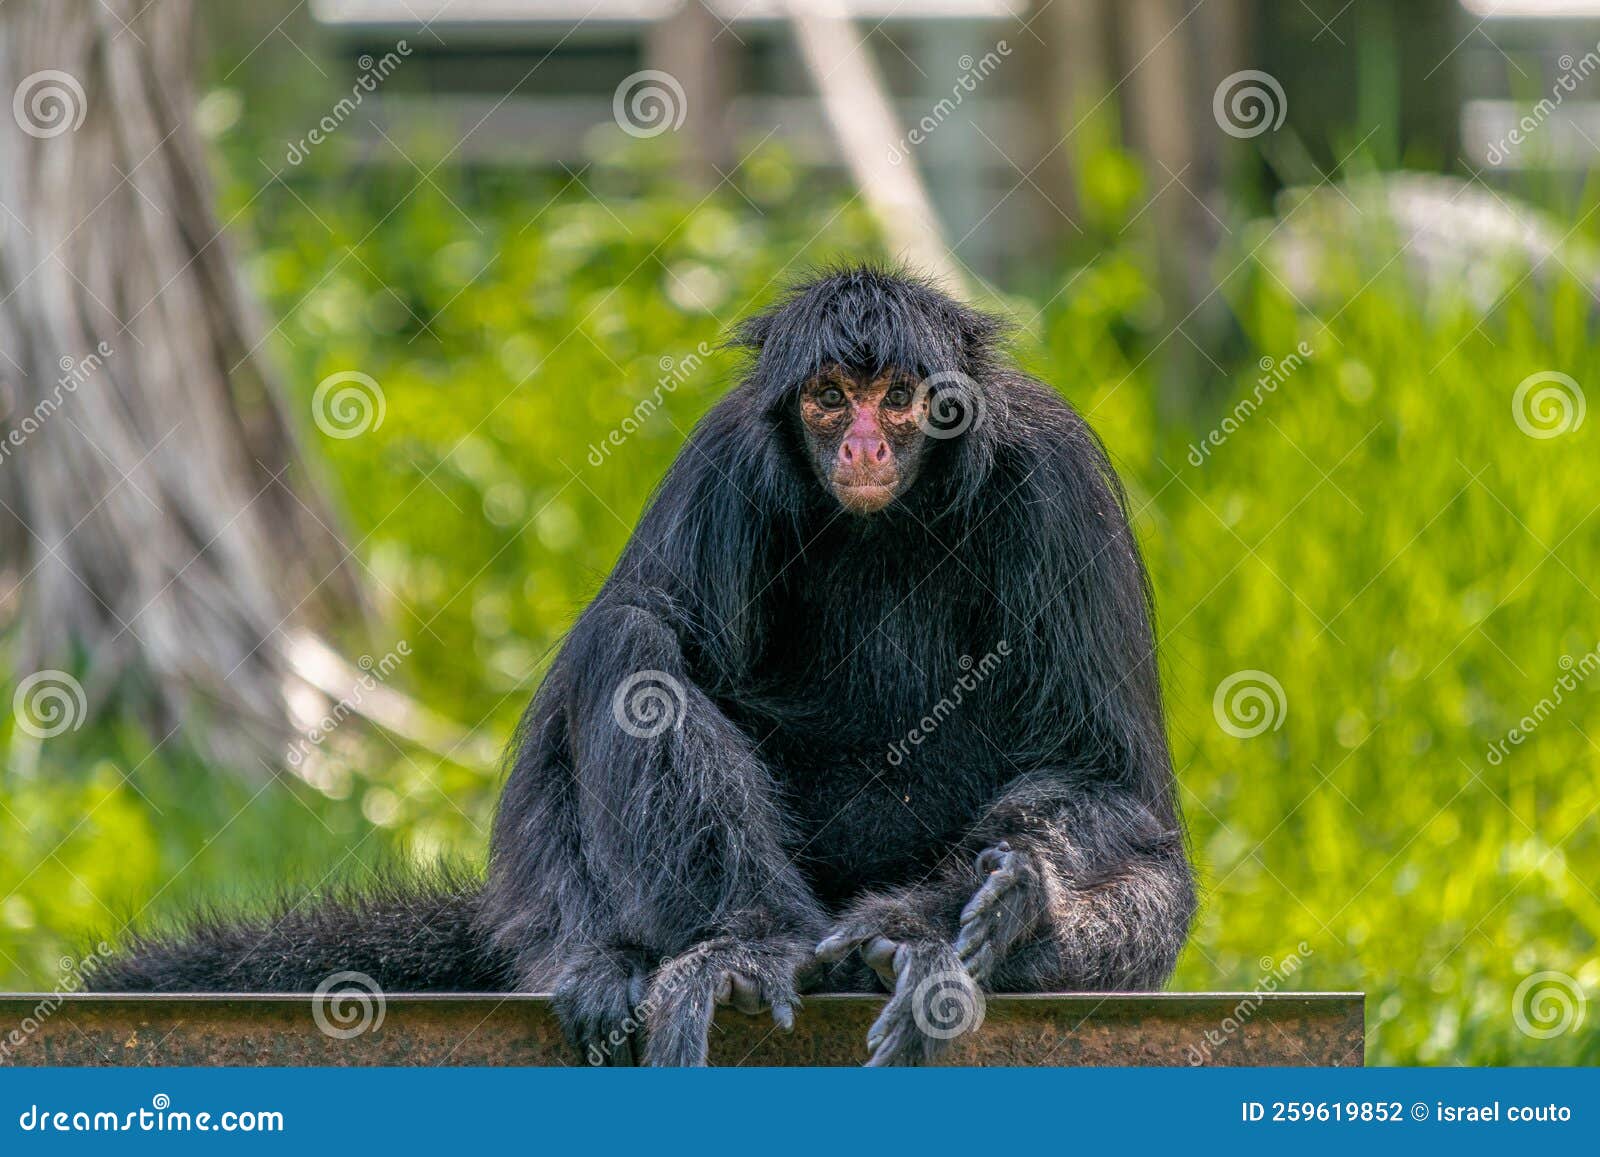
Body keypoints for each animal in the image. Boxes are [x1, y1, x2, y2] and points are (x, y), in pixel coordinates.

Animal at [87, 265, 1197, 1067]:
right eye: (828, 396)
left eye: (896, 396)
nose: (864, 445)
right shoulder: (724, 460)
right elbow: (598, 679)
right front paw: (611, 960)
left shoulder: (1052, 473)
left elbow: (1108, 782)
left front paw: (965, 911)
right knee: (632, 640)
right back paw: (743, 945)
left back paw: (953, 929)